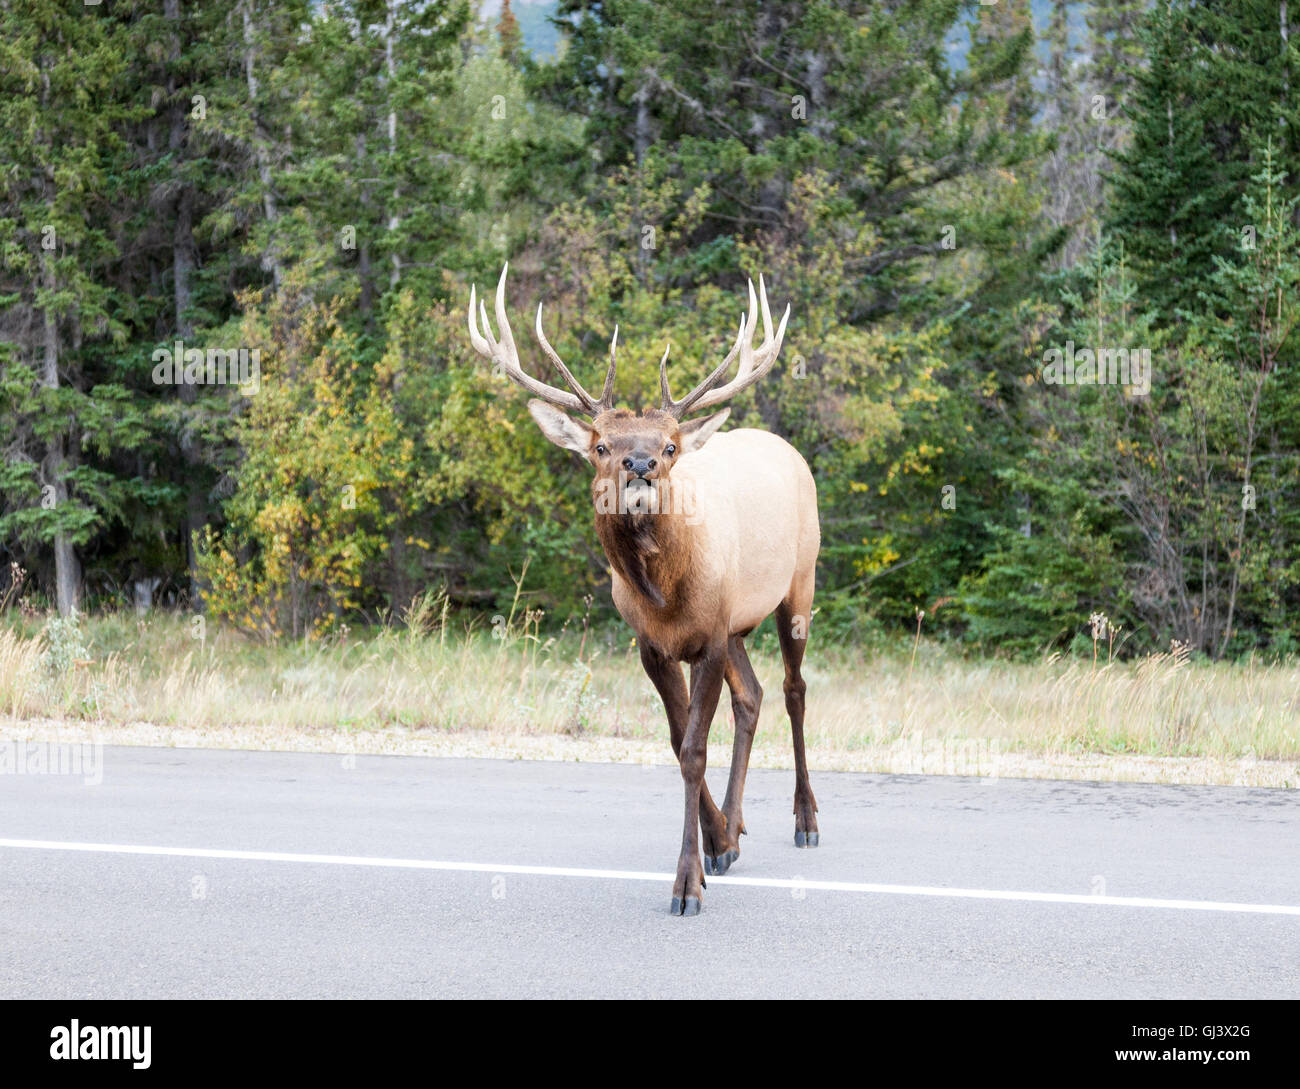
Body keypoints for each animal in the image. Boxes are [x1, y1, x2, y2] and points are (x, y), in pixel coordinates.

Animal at [467, 266, 816, 920]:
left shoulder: (707, 638)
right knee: (753, 696)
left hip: (800, 584)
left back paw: (806, 820)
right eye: (601, 445)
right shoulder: (654, 645)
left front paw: (686, 885)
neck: (666, 594)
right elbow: (679, 741)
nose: (640, 465)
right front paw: (716, 843)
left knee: (793, 690)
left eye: (671, 445)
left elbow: (694, 751)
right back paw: (737, 825)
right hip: (739, 625)